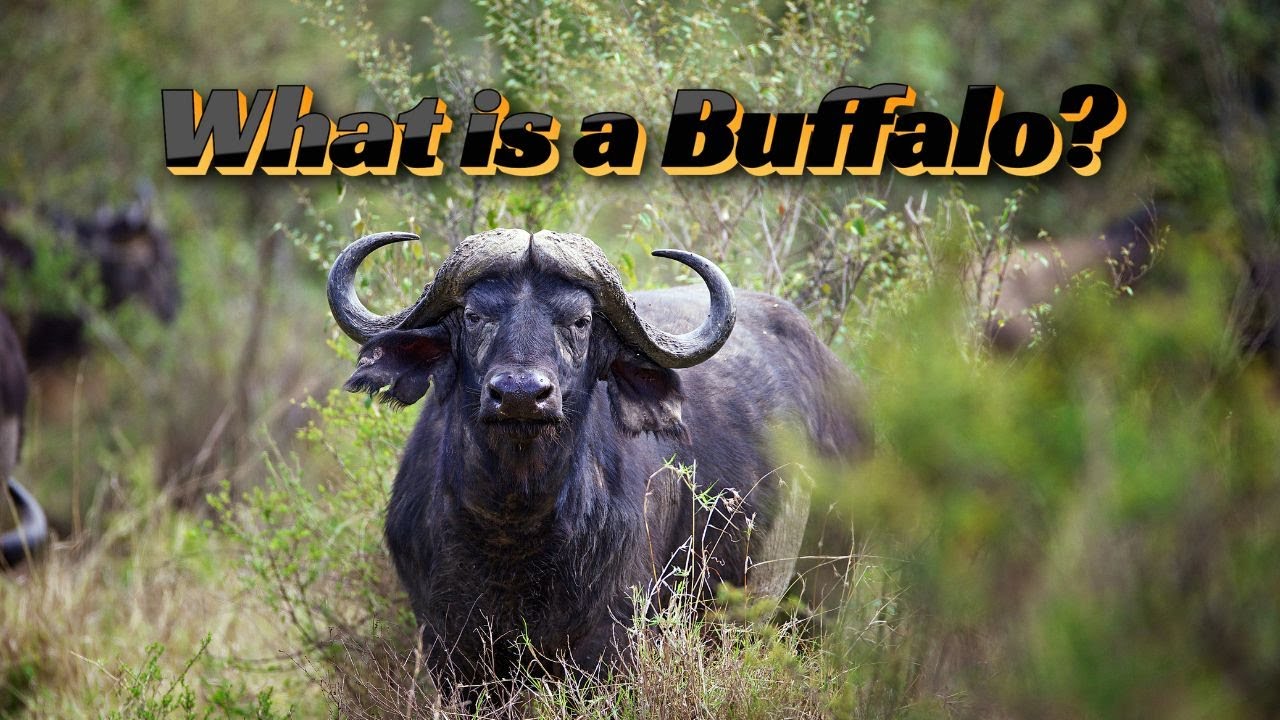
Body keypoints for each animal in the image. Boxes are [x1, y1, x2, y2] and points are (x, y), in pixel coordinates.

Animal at [328, 229, 866, 695]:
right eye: (476, 316)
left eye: (580, 321)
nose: (521, 394)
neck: (513, 529)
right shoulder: (450, 649)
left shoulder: (611, 645)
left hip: (823, 597)